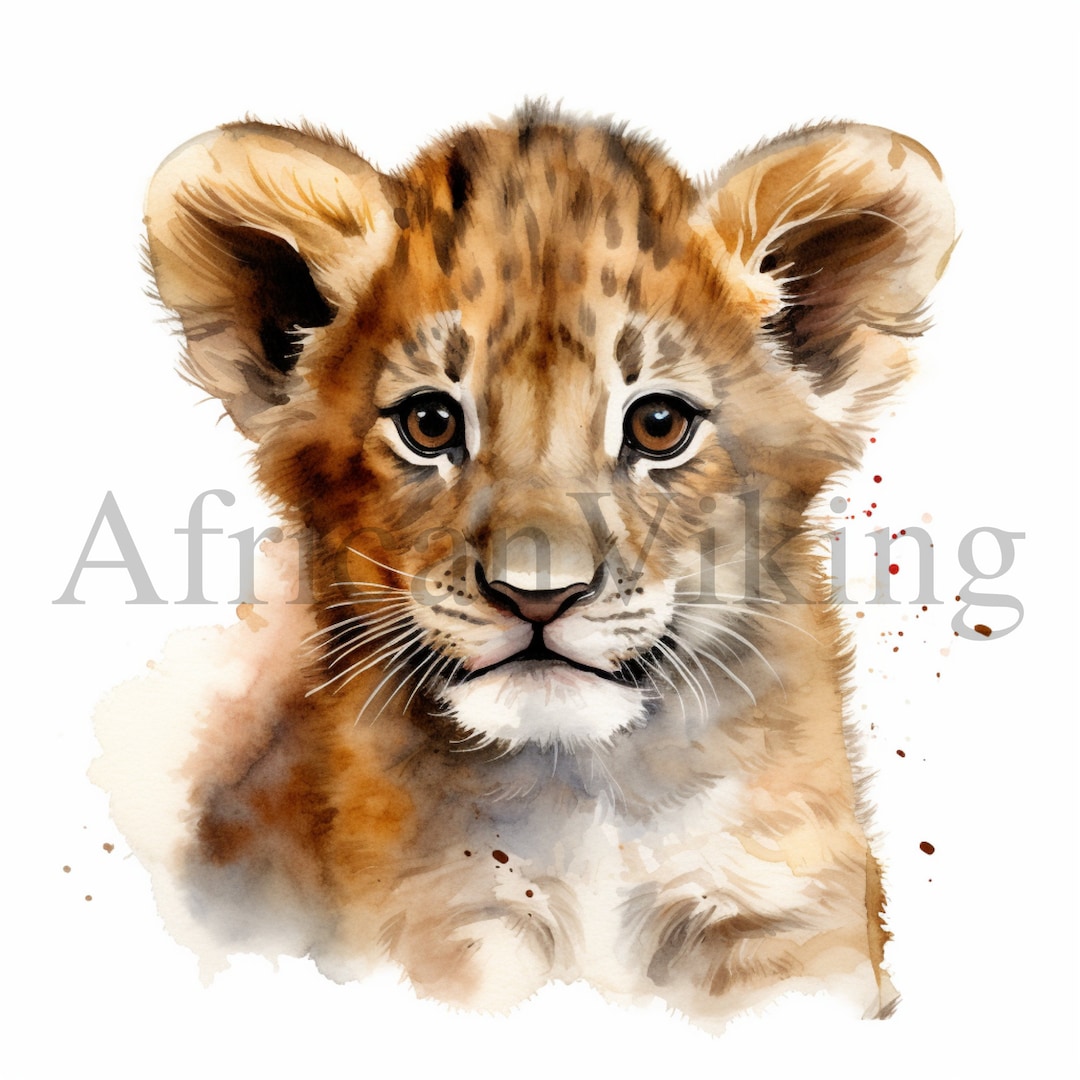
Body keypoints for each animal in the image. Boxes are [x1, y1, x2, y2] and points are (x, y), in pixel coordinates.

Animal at [133, 103, 953, 1026]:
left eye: (660, 424)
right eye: (429, 423)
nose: (537, 597)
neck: (591, 805)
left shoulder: (782, 916)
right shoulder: (440, 927)